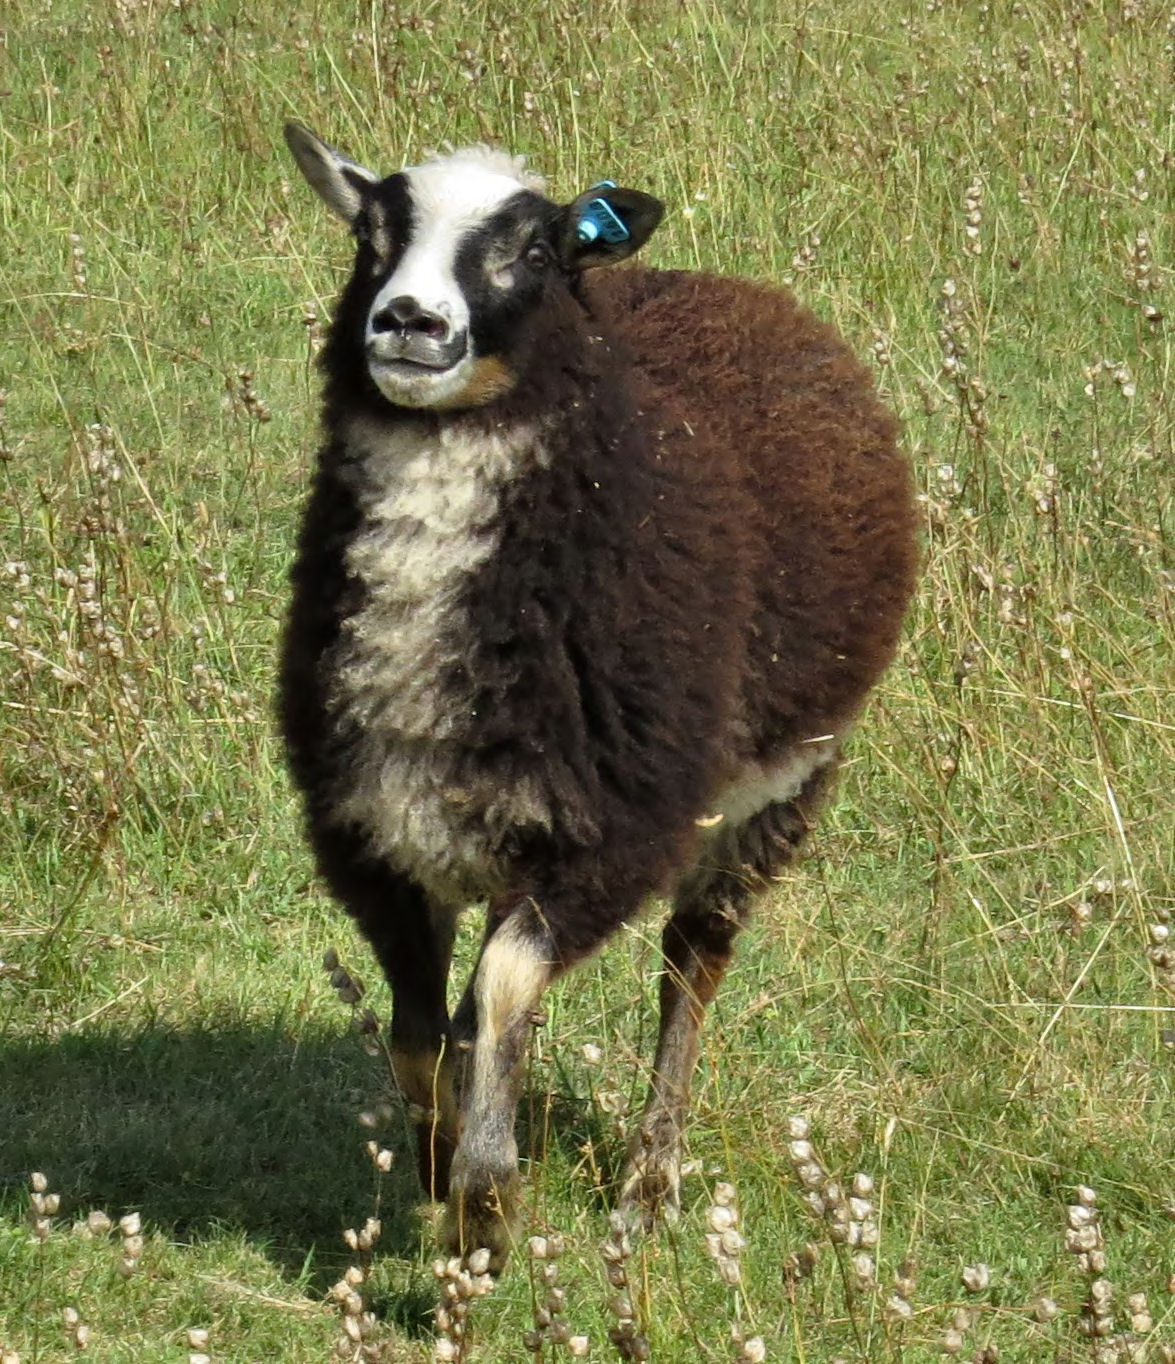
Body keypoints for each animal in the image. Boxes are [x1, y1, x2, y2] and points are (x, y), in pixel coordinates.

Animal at [279, 121, 918, 1268]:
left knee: (689, 962)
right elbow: (417, 1030)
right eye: (370, 235)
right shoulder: (374, 837)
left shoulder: (604, 834)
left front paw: (486, 1203)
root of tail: (733, 287)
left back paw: (649, 1182)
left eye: (534, 250)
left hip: (779, 786)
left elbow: (497, 990)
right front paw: (442, 1166)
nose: (408, 321)